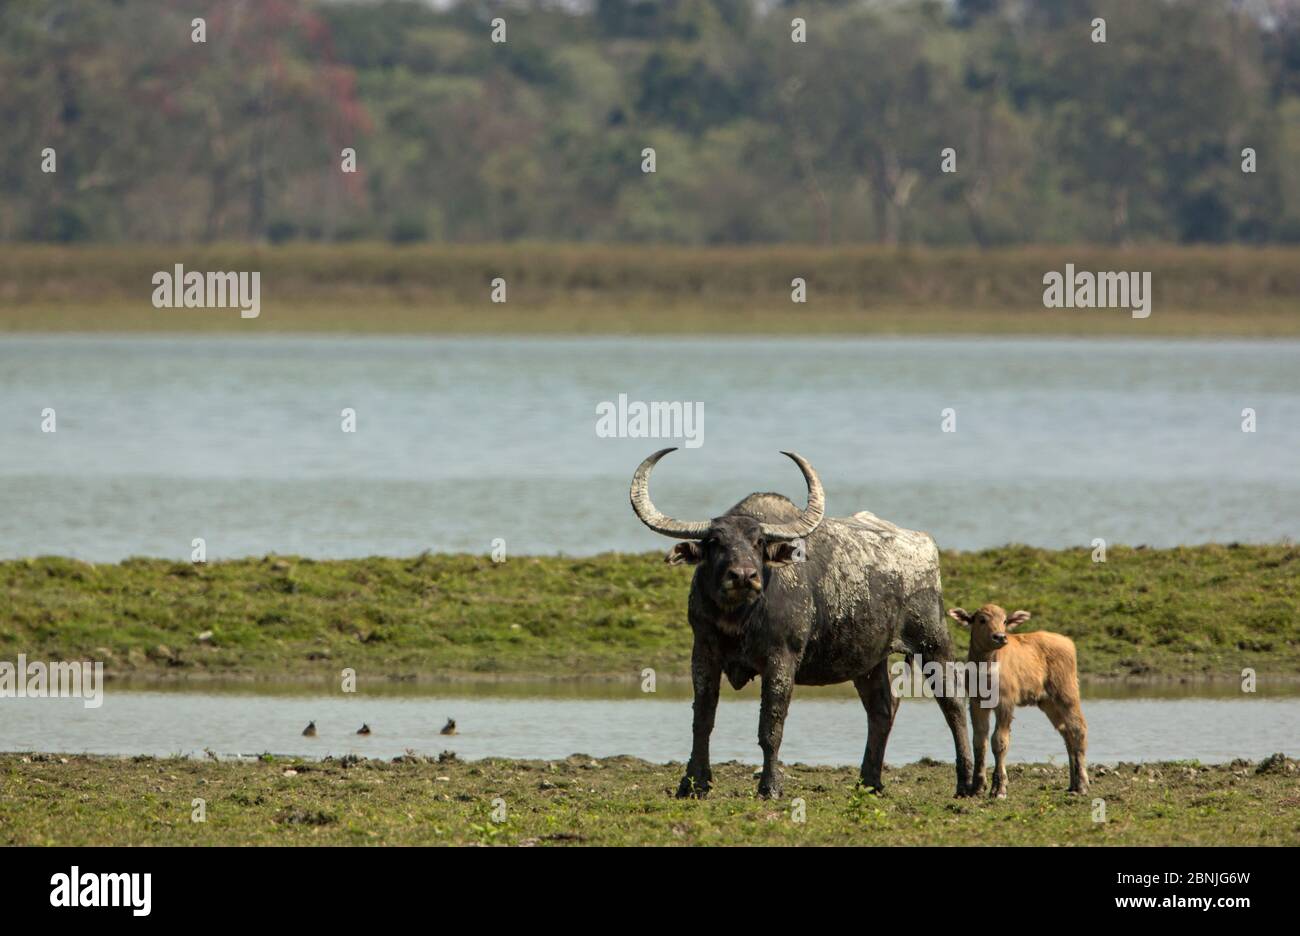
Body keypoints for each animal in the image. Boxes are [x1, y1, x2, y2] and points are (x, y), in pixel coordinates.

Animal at [630, 448, 975, 799]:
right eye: (715, 541)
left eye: (758, 542)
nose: (743, 576)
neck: (740, 617)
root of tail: (924, 543)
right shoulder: (703, 652)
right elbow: (702, 720)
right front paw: (694, 783)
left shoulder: (781, 659)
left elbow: (770, 725)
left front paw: (770, 786)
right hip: (868, 661)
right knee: (882, 708)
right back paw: (869, 781)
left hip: (932, 642)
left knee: (953, 703)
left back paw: (967, 782)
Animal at [947, 604, 1088, 797]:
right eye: (981, 619)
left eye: (1005, 620)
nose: (1000, 636)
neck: (986, 669)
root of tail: (1067, 641)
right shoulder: (976, 703)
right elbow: (979, 741)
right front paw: (977, 787)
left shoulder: (1005, 703)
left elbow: (999, 741)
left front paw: (999, 788)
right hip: (1048, 702)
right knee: (1066, 733)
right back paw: (1072, 784)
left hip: (1067, 693)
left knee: (1078, 728)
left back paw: (1082, 785)